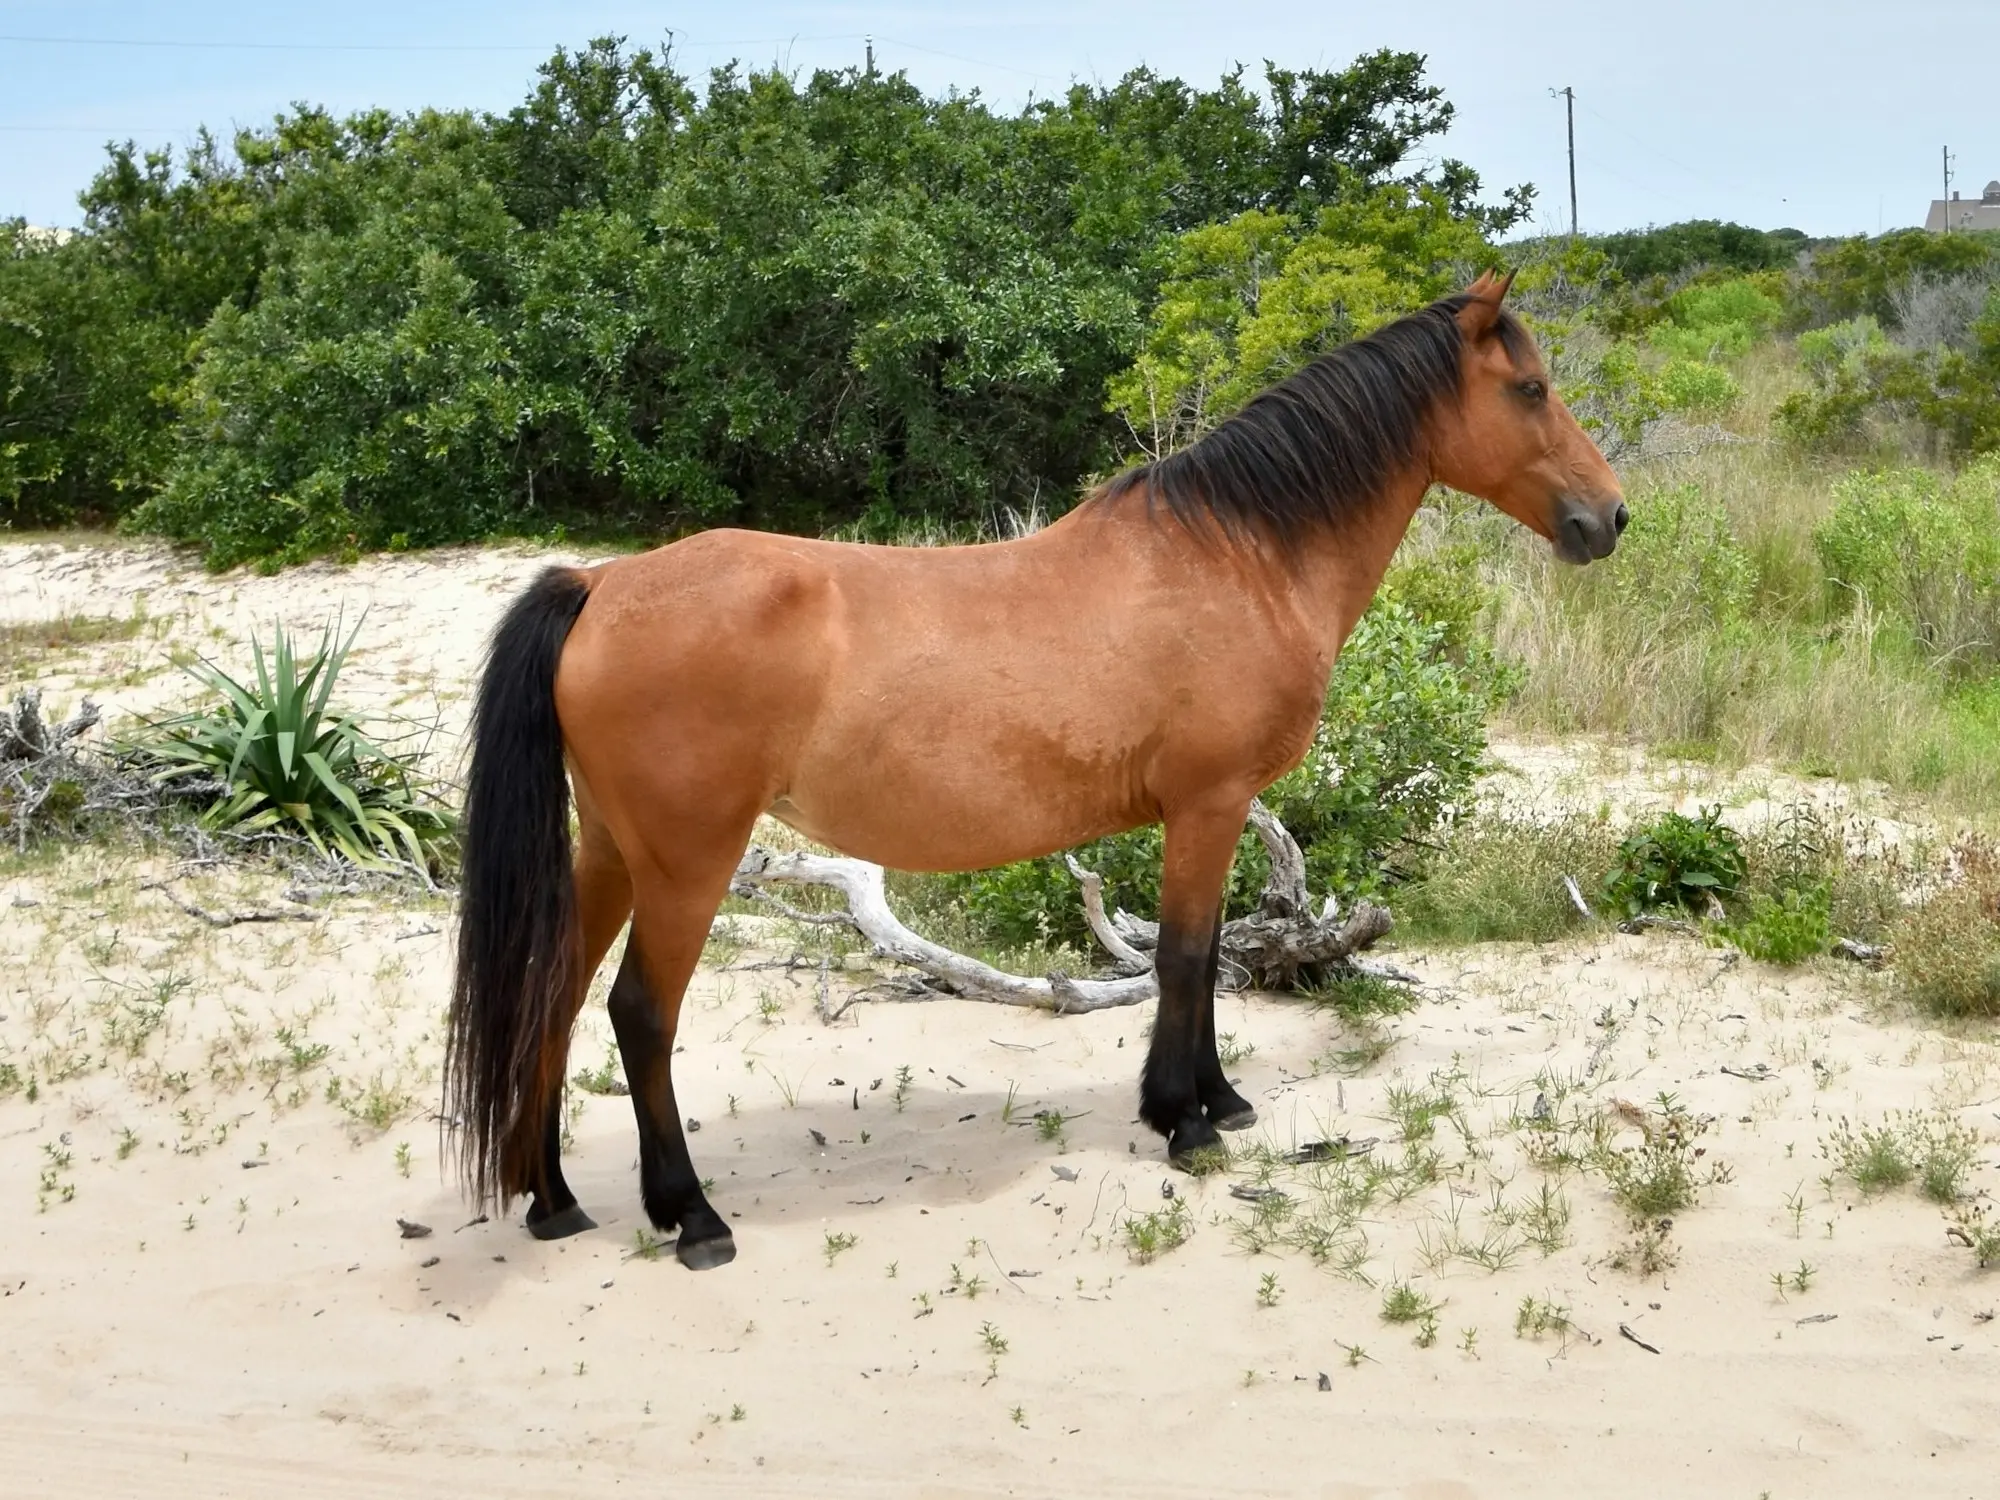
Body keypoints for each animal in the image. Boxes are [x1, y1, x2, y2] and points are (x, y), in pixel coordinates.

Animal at [443, 271, 1625, 1270]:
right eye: (1529, 388)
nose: (1608, 517)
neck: (1237, 555)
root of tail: (600, 584)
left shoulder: (1206, 811)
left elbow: (1198, 958)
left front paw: (1216, 1101)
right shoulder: (1208, 804)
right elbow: (1186, 958)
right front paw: (1185, 1121)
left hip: (610, 851)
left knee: (552, 996)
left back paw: (554, 1201)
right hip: (688, 864)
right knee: (639, 1015)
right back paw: (689, 1216)